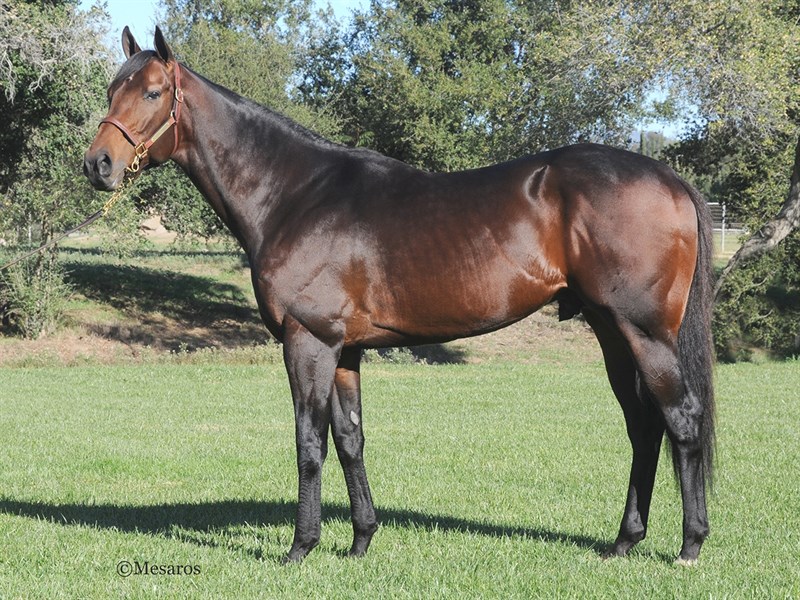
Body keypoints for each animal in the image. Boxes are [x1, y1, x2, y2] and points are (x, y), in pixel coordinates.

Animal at [84, 27, 716, 565]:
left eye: (152, 91)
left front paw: (300, 547)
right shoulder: (345, 350)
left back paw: (689, 545)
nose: (98, 164)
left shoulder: (308, 341)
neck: (295, 194)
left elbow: (309, 441)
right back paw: (624, 542)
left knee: (681, 419)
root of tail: (670, 180)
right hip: (611, 331)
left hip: (643, 332)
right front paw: (361, 540)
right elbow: (350, 439)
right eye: (112, 89)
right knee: (644, 427)